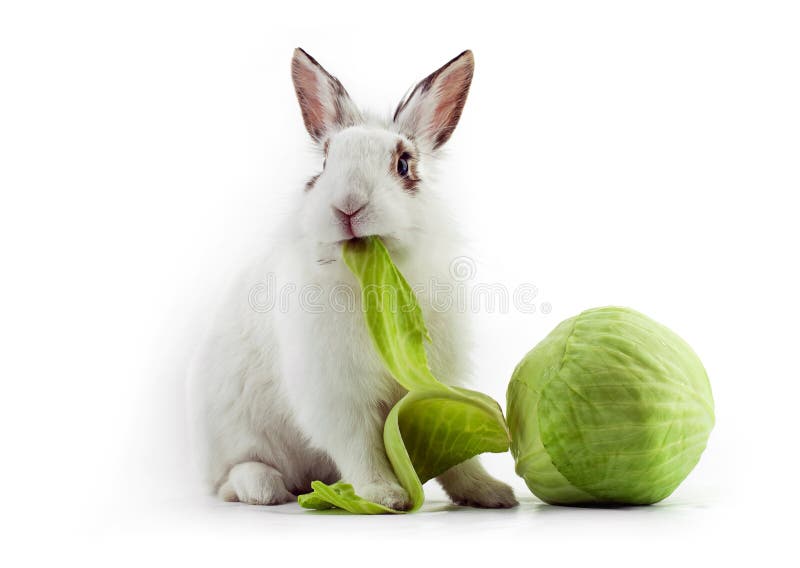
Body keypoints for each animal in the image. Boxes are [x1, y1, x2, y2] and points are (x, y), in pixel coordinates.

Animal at [188, 48, 517, 510]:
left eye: (403, 164)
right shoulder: (336, 394)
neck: (372, 283)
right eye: (326, 164)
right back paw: (264, 488)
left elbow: (458, 456)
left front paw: (491, 493)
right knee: (231, 478)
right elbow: (360, 445)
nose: (348, 205)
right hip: (234, 435)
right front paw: (384, 495)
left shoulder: (434, 383)